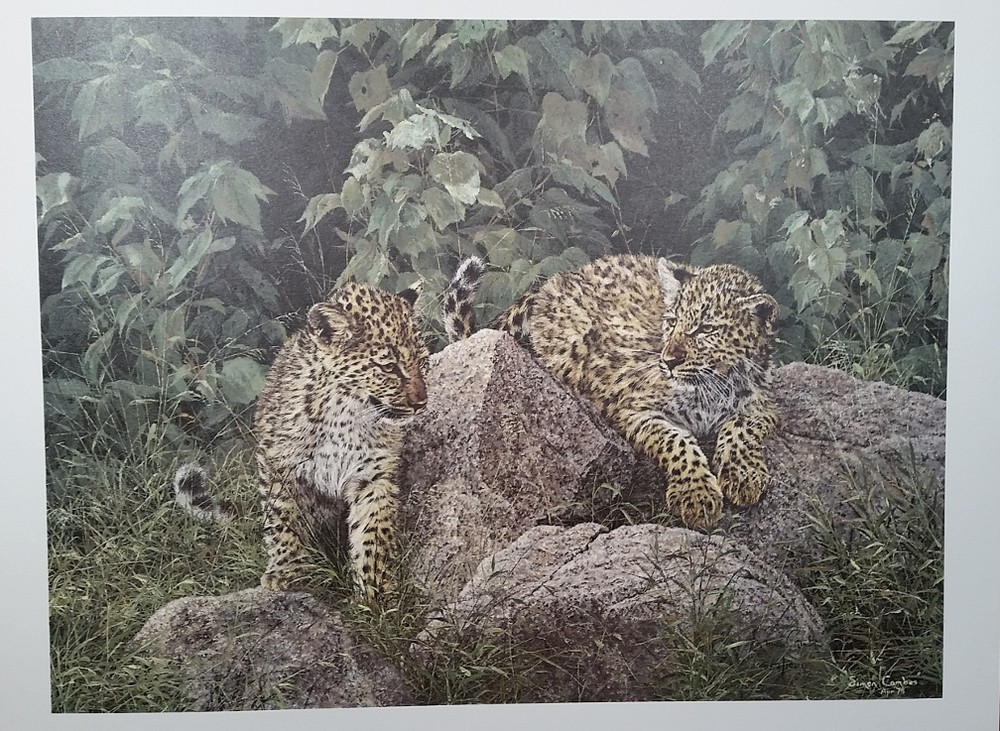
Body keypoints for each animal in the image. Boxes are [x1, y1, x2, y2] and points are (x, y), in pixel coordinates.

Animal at [175, 280, 428, 601]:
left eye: (422, 361)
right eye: (389, 367)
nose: (421, 403)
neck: (346, 415)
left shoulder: (373, 475)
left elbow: (373, 528)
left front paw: (376, 587)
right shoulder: (279, 466)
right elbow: (283, 521)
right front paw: (288, 572)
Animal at [443, 253, 780, 530]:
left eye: (707, 329)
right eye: (672, 322)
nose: (669, 361)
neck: (712, 386)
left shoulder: (763, 401)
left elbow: (742, 426)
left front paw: (743, 477)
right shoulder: (632, 409)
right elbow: (676, 443)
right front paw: (696, 496)